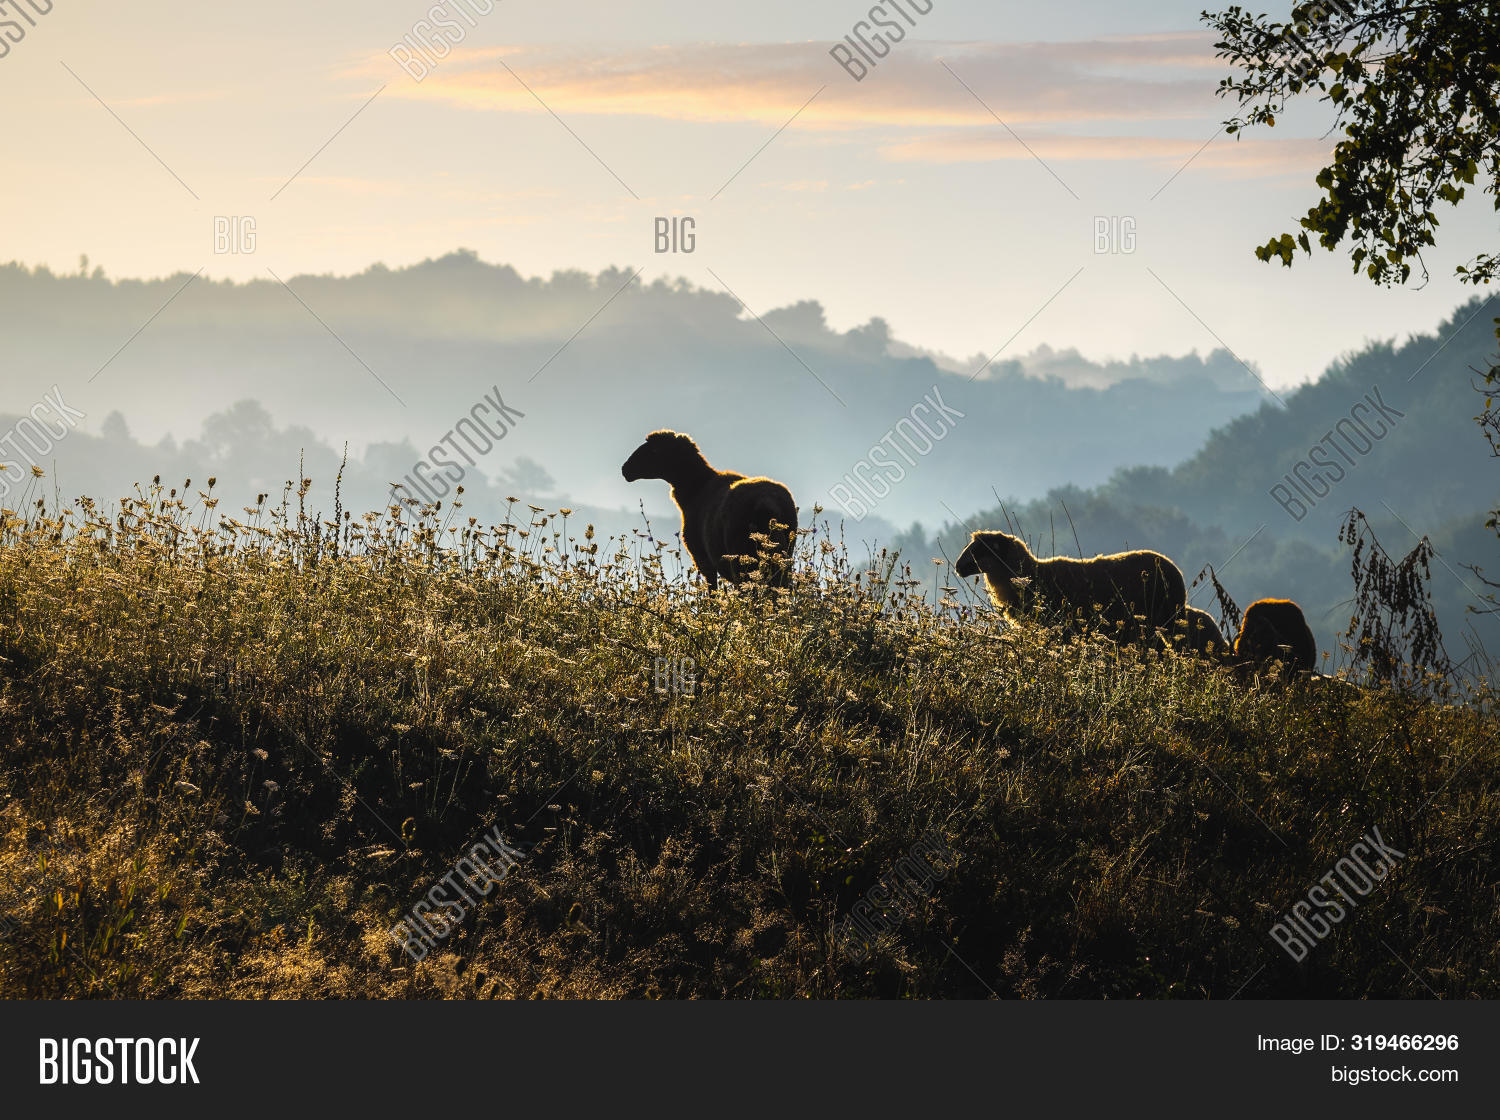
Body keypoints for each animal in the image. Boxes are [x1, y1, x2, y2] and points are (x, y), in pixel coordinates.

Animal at [621, 430, 797, 589]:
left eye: (655, 449)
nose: (625, 469)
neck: (696, 488)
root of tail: (767, 504)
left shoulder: (702, 559)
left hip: (741, 557)